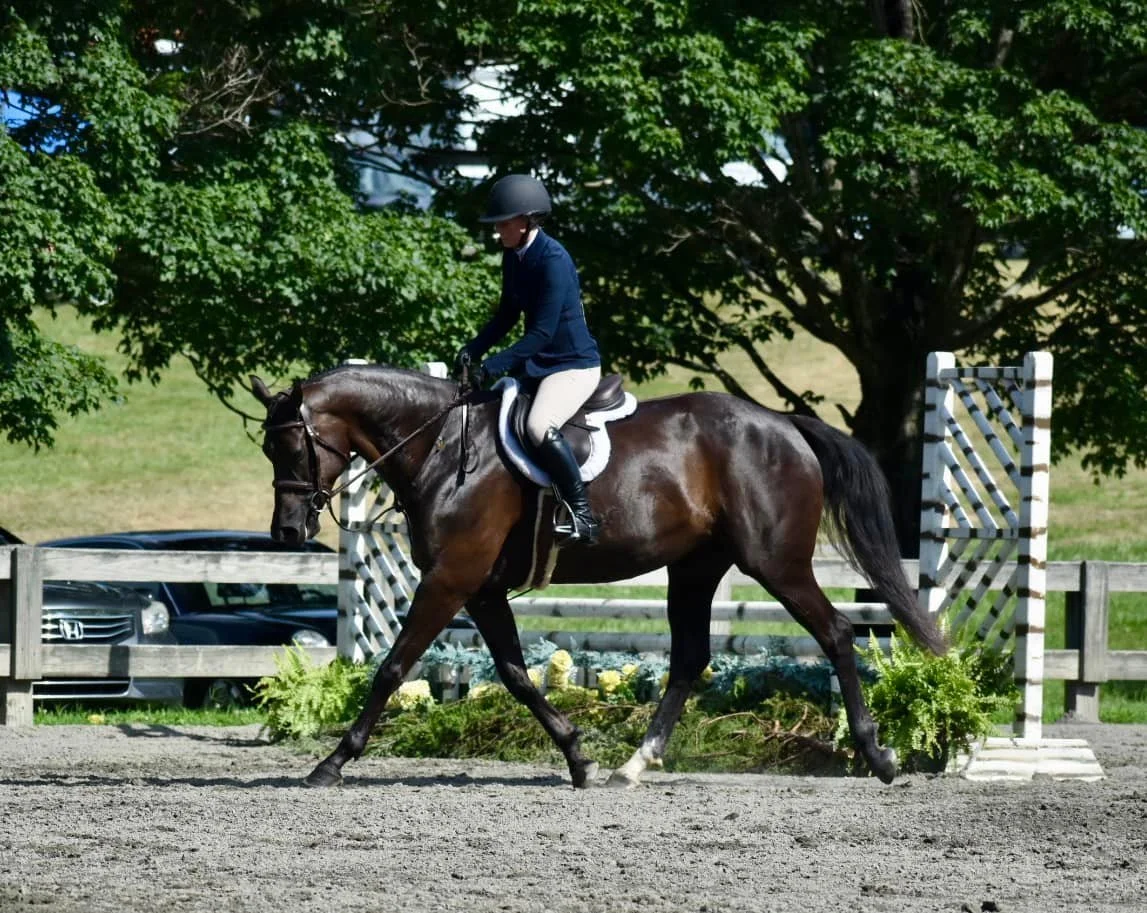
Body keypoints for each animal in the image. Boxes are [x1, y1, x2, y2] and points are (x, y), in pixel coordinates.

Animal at [251, 364, 945, 789]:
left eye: (291, 447)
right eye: (267, 449)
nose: (285, 534)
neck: (442, 446)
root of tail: (782, 424)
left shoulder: (450, 579)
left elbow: (393, 668)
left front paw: (333, 762)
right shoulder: (481, 588)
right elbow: (515, 675)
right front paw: (579, 757)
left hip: (775, 562)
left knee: (837, 635)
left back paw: (877, 756)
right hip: (695, 568)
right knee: (690, 658)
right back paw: (634, 764)